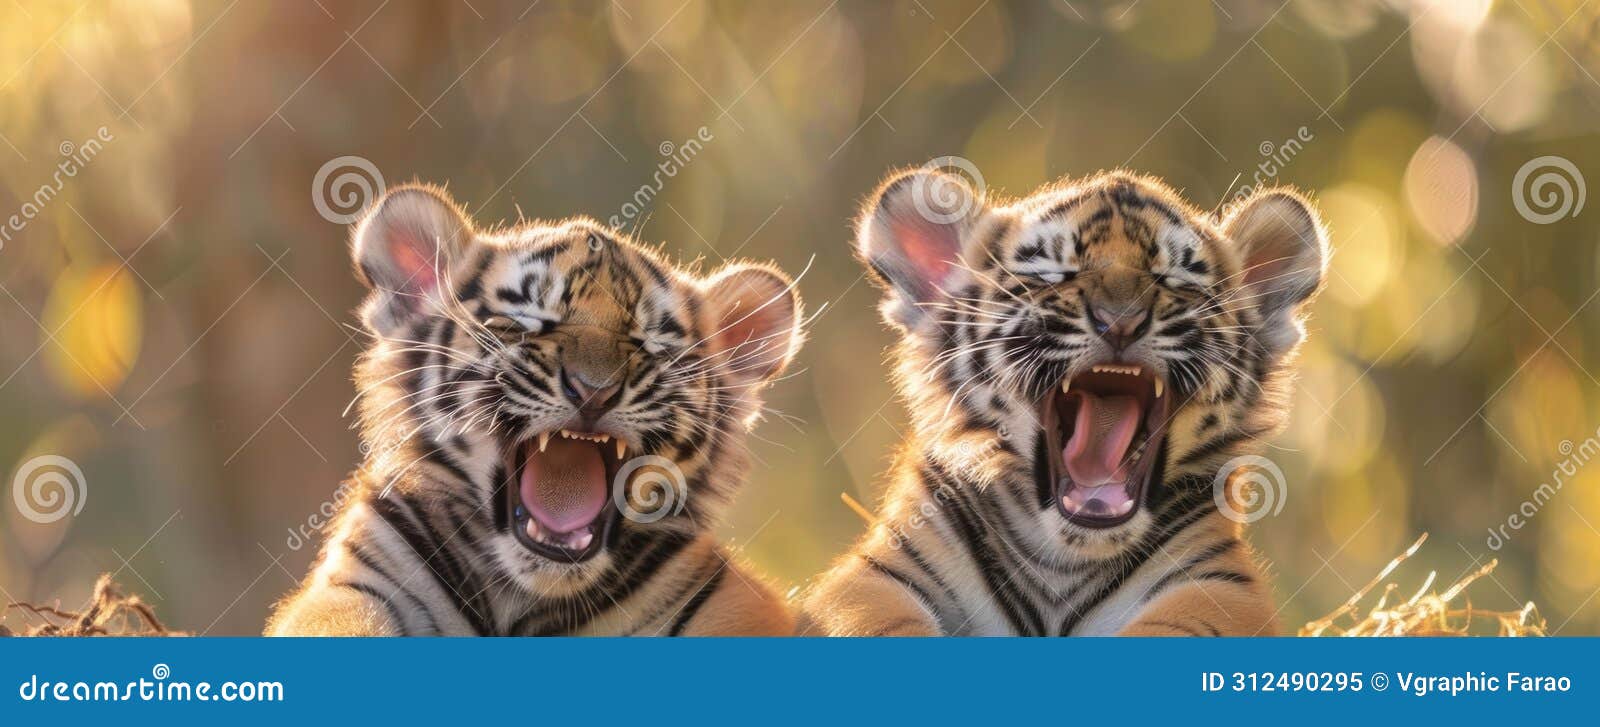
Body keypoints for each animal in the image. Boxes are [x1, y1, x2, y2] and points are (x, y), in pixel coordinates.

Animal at [802, 168, 1328, 636]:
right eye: (1054, 275)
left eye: (1174, 281)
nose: (1120, 321)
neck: (1064, 560)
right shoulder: (874, 576)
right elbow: (873, 623)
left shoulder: (1219, 586)